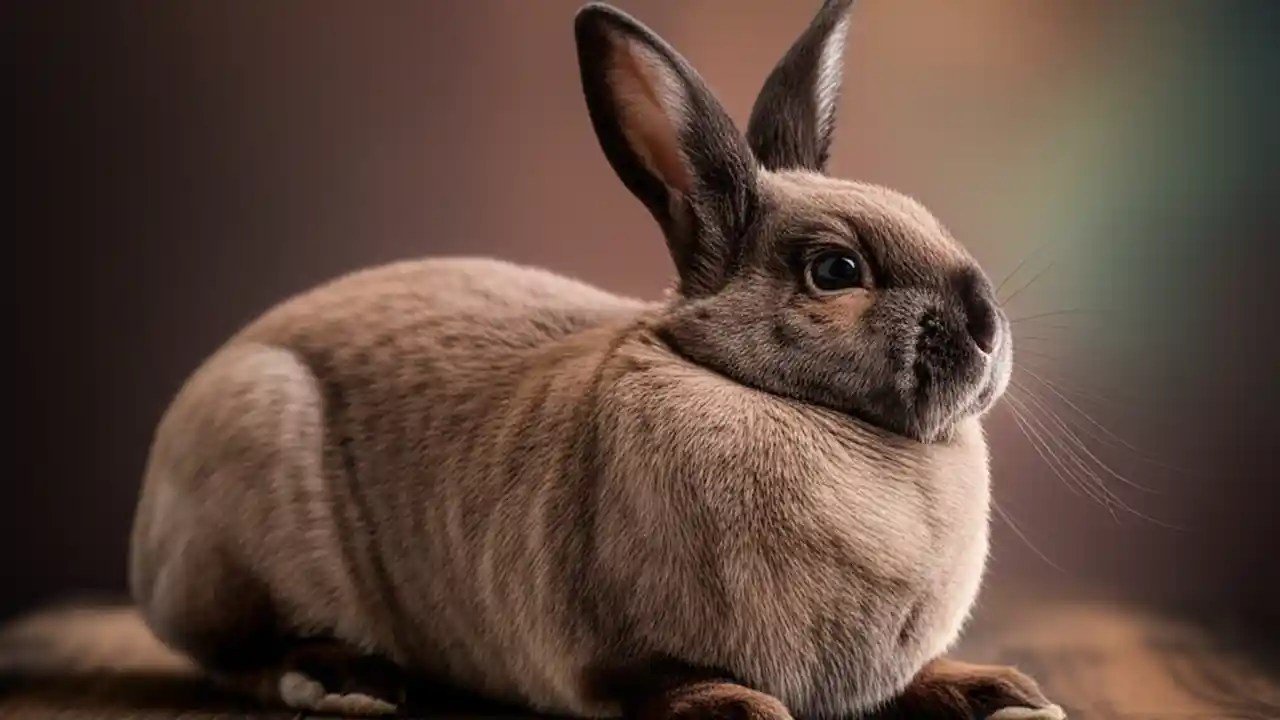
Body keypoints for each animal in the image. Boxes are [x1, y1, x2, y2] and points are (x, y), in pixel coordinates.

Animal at [128, 1, 1065, 719]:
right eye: (836, 271)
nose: (987, 326)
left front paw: (1005, 694)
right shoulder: (612, 648)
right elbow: (665, 684)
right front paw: (742, 708)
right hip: (253, 487)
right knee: (241, 655)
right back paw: (341, 682)